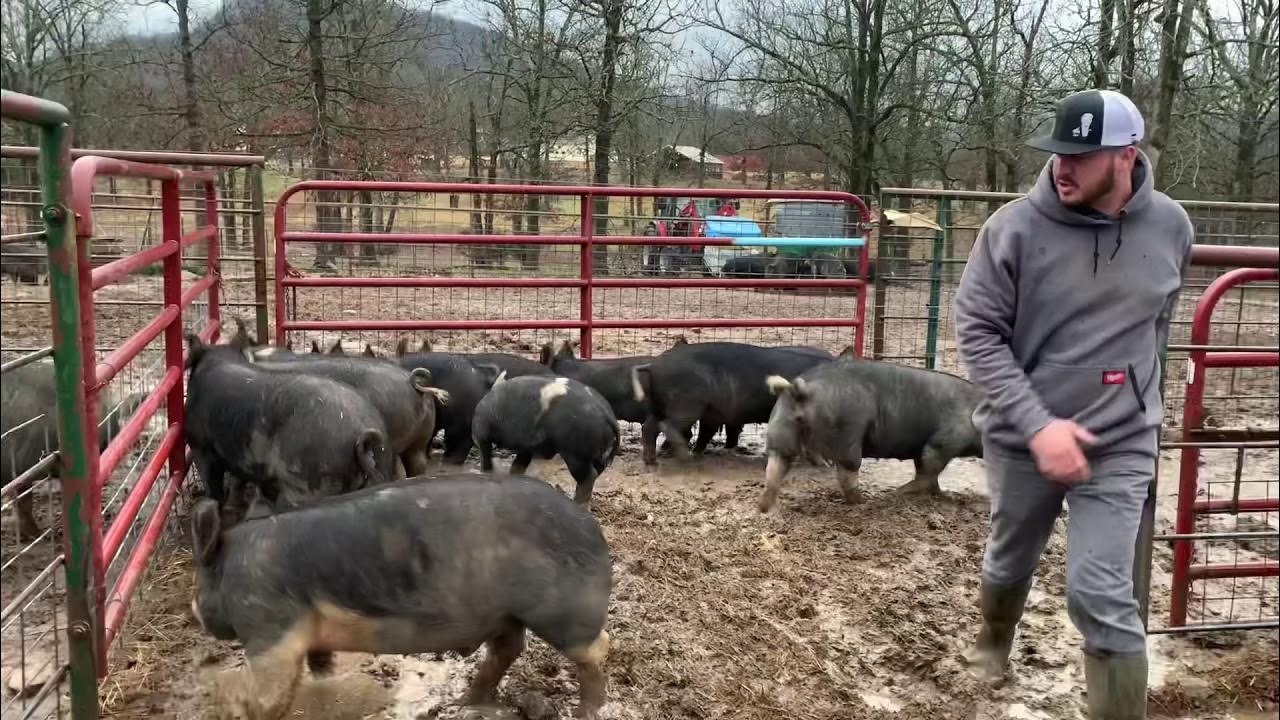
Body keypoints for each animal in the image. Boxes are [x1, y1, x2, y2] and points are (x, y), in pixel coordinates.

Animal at [188, 474, 612, 720]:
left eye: (200, 580)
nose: (195, 609)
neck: (235, 565)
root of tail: (592, 528)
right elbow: (315, 662)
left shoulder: (268, 624)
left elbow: (270, 692)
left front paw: (239, 708)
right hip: (506, 614)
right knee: (507, 649)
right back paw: (467, 700)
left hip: (563, 613)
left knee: (597, 649)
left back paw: (586, 711)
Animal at [472, 375, 620, 507]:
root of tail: (607, 414)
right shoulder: (527, 447)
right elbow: (518, 465)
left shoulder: (482, 434)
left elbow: (486, 458)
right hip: (597, 455)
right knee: (596, 472)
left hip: (575, 453)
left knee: (589, 477)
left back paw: (578, 504)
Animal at [630, 341, 833, 464]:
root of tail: (654, 365)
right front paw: (822, 462)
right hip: (683, 406)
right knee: (663, 427)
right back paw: (672, 458)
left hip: (662, 406)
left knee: (650, 427)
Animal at [757, 348, 984, 512]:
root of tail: (802, 391)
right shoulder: (943, 441)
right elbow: (929, 467)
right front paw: (903, 493)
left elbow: (924, 469)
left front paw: (938, 494)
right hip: (846, 433)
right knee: (847, 473)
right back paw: (864, 501)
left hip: (781, 425)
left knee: (776, 466)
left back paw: (764, 508)